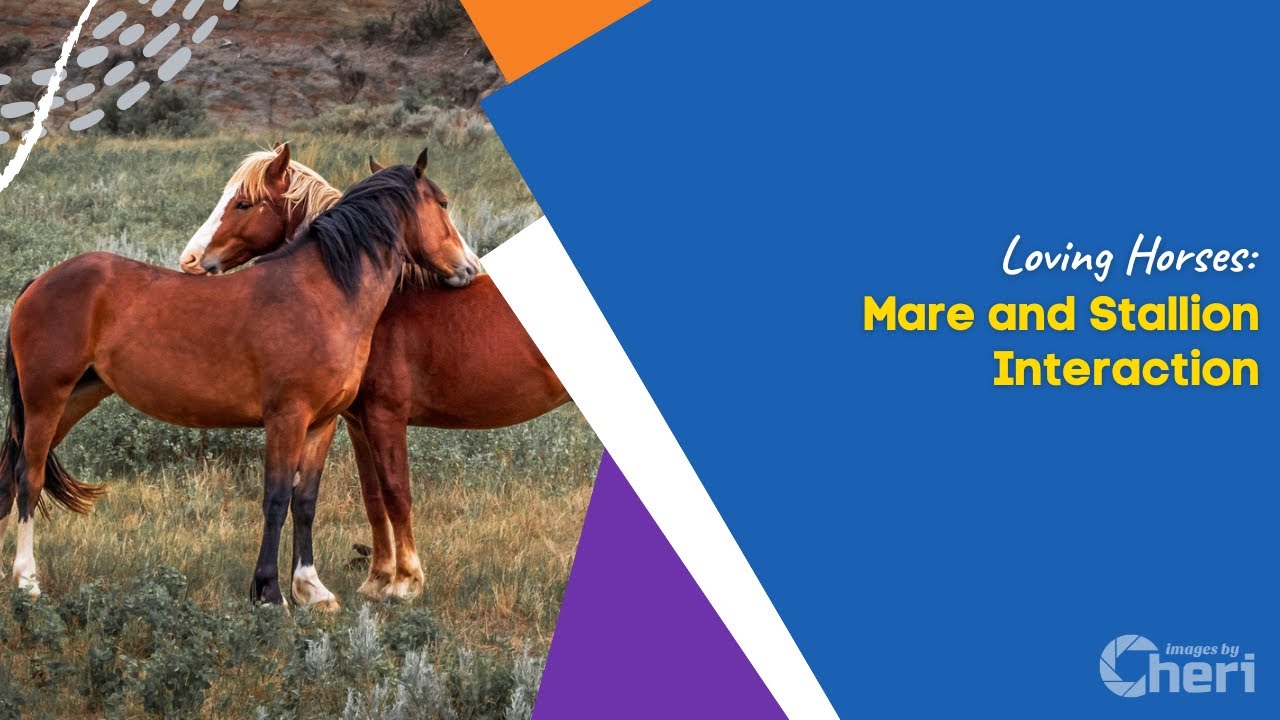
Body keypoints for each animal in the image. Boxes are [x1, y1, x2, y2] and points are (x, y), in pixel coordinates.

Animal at [0, 149, 480, 607]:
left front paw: (312, 590)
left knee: (11, 473)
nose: (469, 267)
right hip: (46, 399)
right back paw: (26, 580)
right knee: (29, 476)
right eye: (442, 203)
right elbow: (277, 499)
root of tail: (40, 281)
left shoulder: (322, 424)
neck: (322, 294)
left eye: (244, 203)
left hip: (73, 400)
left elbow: (305, 501)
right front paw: (268, 592)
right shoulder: (286, 419)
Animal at [178, 145, 570, 598]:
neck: (367, 300)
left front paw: (406, 582)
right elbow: (373, 497)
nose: (189, 259)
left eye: (243, 203)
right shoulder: (356, 422)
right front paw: (377, 579)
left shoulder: (386, 416)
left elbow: (397, 493)